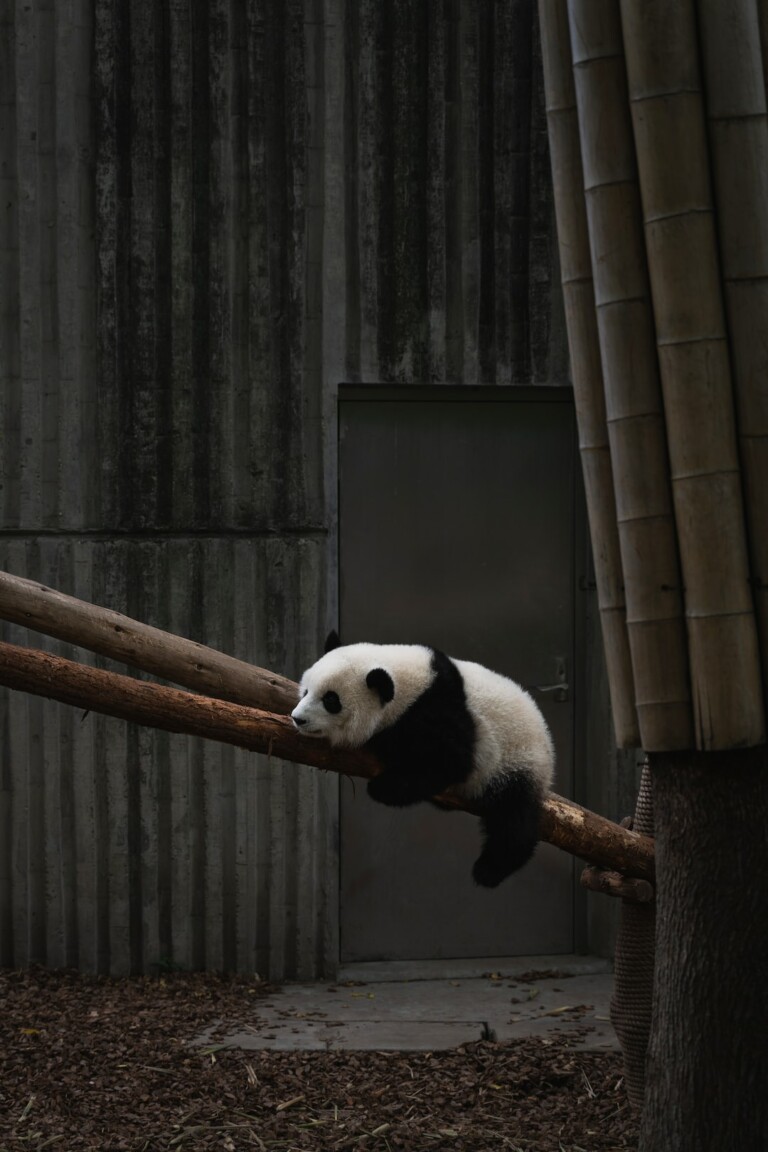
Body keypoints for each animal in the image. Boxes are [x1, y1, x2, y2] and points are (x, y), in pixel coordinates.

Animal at [291, 633, 555, 887]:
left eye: (331, 700)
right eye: (306, 691)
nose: (297, 718)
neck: (411, 685)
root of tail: (547, 745)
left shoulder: (438, 711)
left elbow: (450, 761)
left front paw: (383, 785)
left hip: (516, 761)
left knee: (513, 819)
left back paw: (489, 870)